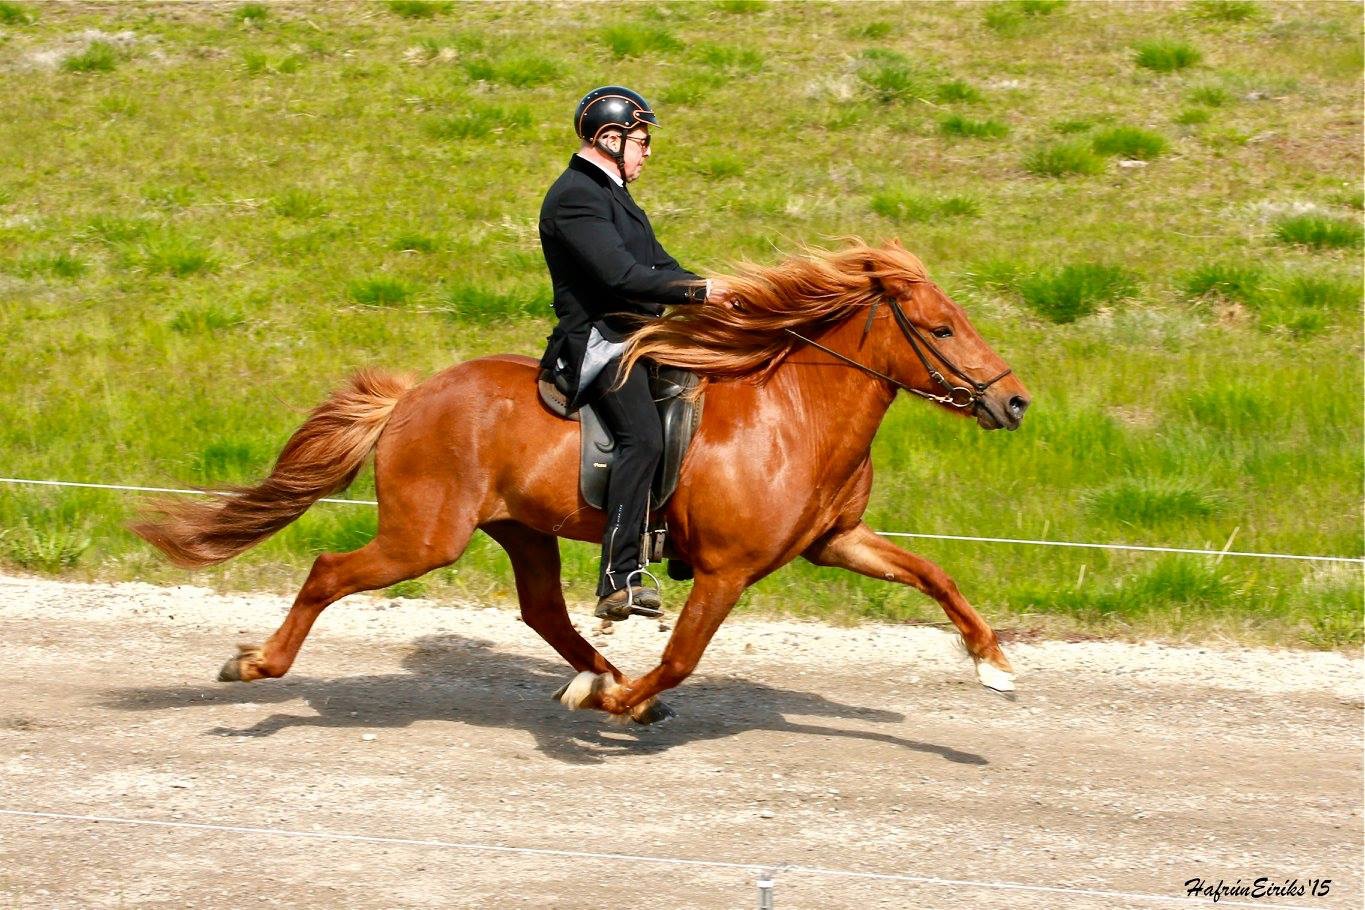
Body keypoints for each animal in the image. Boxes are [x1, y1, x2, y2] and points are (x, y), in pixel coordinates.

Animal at [132, 239, 1031, 725]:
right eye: (941, 329)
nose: (1015, 401)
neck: (792, 414)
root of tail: (412, 396)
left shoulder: (836, 541)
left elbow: (934, 575)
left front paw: (993, 661)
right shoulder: (725, 570)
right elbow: (682, 657)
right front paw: (613, 705)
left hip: (519, 528)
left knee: (542, 611)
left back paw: (599, 672)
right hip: (424, 536)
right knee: (328, 572)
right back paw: (255, 666)